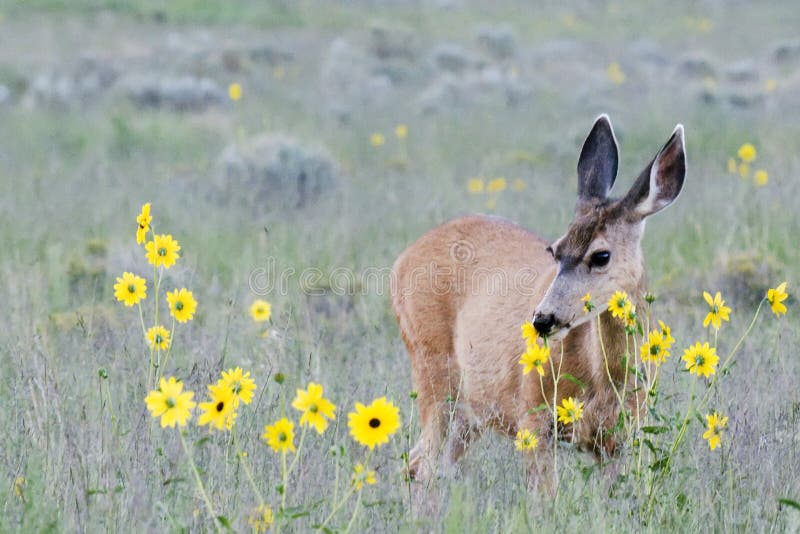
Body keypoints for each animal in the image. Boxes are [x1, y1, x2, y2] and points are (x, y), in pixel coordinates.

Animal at [390, 115, 686, 487]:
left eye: (601, 255)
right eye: (555, 250)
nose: (543, 319)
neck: (604, 382)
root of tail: (400, 261)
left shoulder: (618, 439)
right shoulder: (532, 416)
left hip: (470, 410)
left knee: (425, 463)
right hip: (433, 368)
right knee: (420, 465)